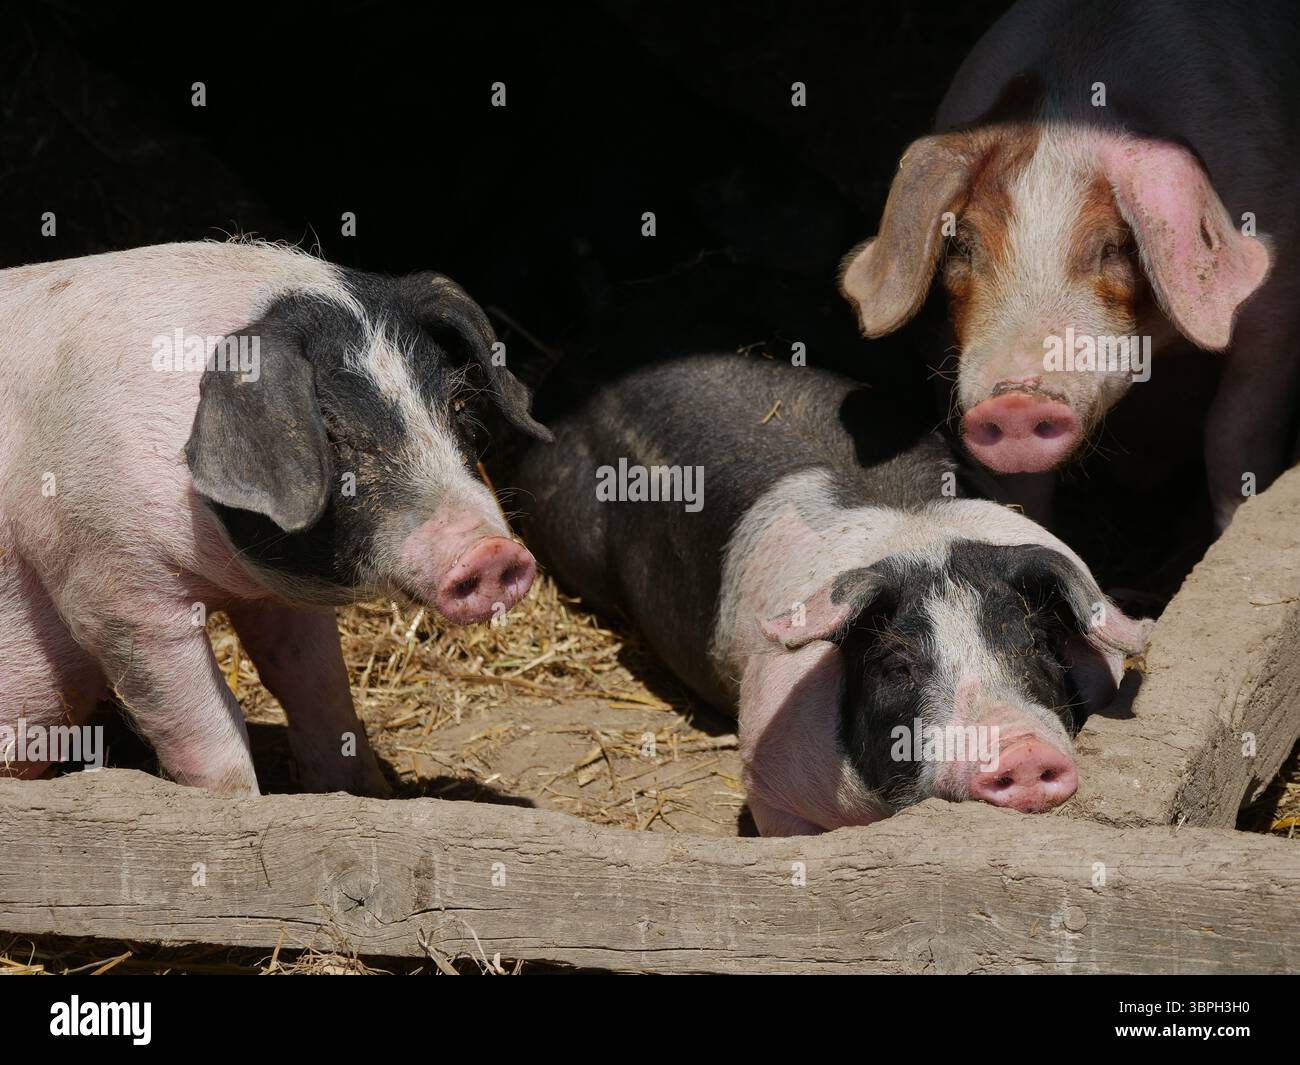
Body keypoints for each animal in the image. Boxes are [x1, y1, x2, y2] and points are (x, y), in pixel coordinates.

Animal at [0, 240, 550, 795]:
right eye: (332, 433)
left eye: (457, 405)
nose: (493, 552)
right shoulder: (111, 585)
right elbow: (210, 736)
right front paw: (240, 804)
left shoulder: (277, 593)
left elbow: (319, 689)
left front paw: (365, 794)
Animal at [839, 0, 1299, 528]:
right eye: (964, 248)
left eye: (1114, 247)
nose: (1015, 399)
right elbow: (1023, 492)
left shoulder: (1276, 307)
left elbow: (1234, 438)